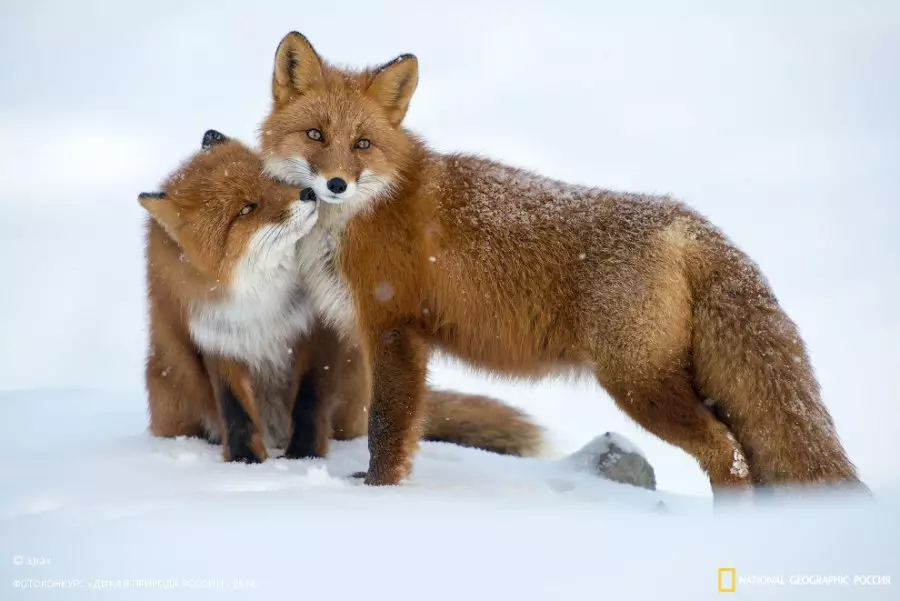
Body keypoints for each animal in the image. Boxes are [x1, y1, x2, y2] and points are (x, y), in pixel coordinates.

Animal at [138, 129, 544, 462]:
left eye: (273, 178)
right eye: (246, 209)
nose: (308, 193)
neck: (262, 301)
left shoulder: (318, 332)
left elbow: (310, 401)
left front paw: (303, 458)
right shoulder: (220, 341)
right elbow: (235, 413)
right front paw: (246, 465)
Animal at [256, 30, 860, 494]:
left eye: (362, 144)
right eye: (315, 135)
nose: (336, 184)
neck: (364, 212)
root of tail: (685, 221)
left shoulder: (394, 328)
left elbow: (387, 428)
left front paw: (379, 496)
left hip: (638, 384)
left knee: (726, 451)